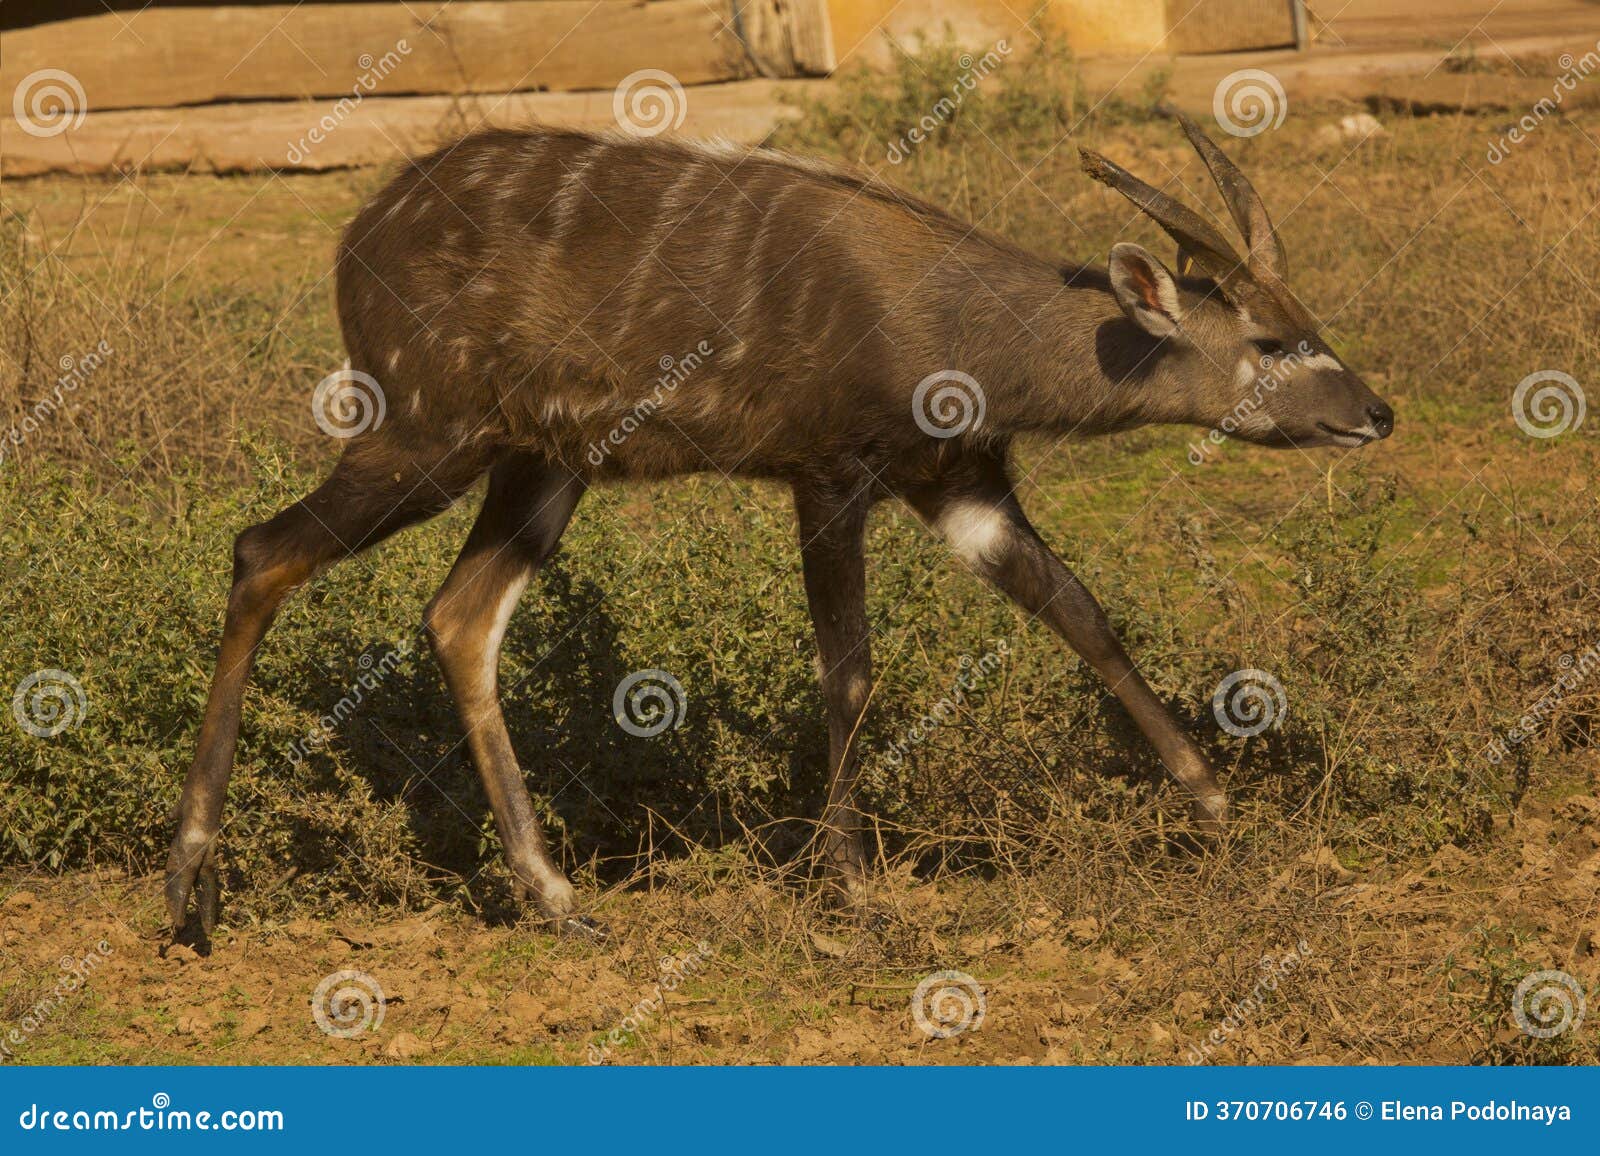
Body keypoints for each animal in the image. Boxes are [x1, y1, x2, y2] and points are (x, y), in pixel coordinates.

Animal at [166, 109, 1393, 938]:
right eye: (1270, 341)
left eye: (1311, 322)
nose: (1375, 414)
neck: (945, 317)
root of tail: (358, 236)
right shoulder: (829, 472)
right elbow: (848, 668)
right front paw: (848, 882)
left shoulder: (962, 485)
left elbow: (1082, 614)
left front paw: (1217, 805)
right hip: (426, 435)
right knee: (263, 552)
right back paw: (190, 885)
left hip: (540, 463)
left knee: (459, 615)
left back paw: (557, 895)